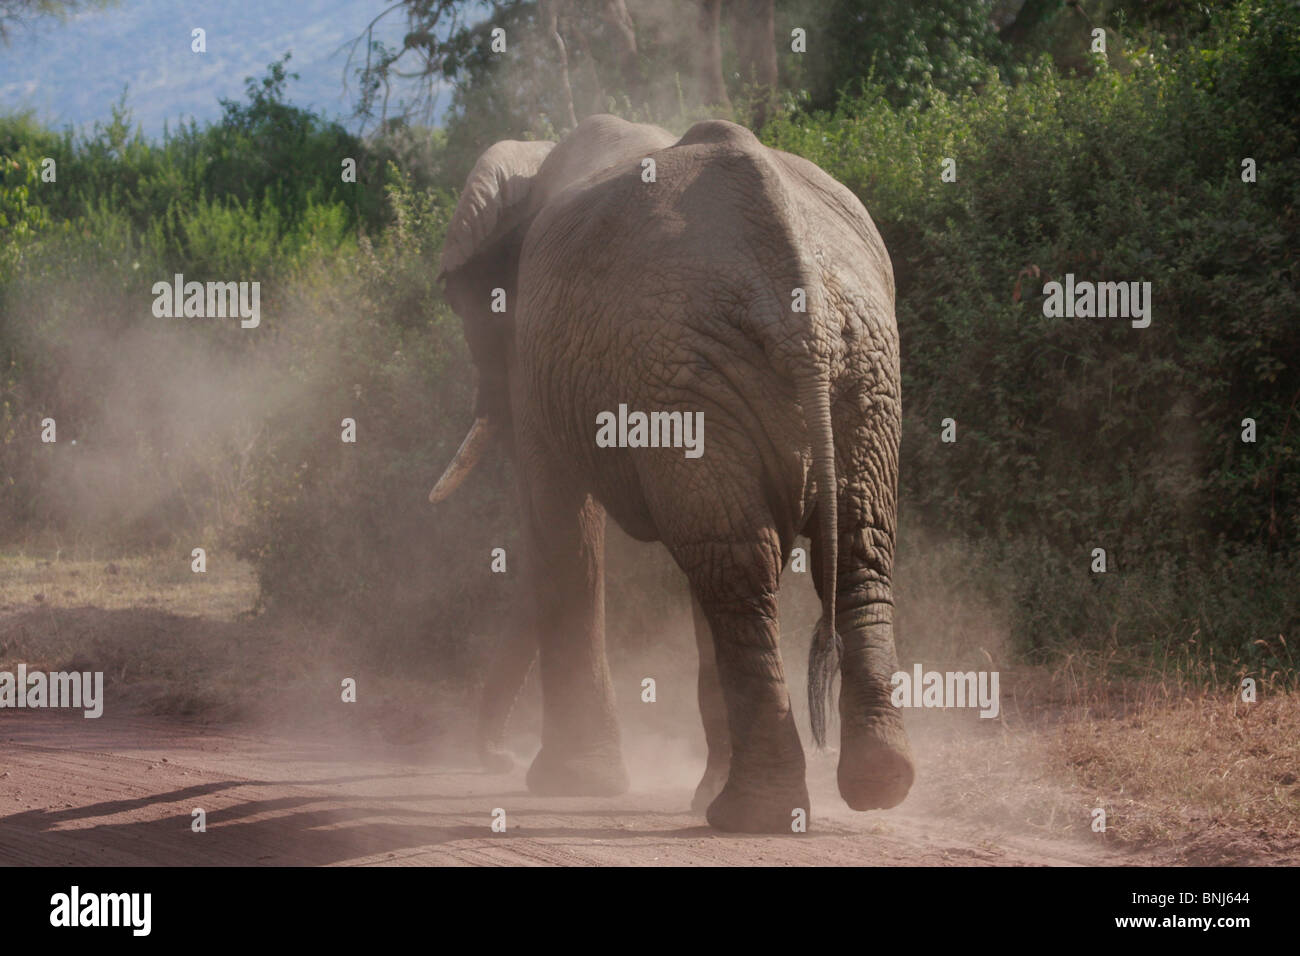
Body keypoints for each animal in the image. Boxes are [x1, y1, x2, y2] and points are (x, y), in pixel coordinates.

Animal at [429, 114, 913, 832]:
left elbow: (560, 528)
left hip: (723, 369)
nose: (496, 761)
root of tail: (794, 278)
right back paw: (871, 785)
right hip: (833, 368)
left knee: (743, 565)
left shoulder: (540, 366)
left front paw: (572, 785)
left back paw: (750, 813)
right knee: (827, 550)